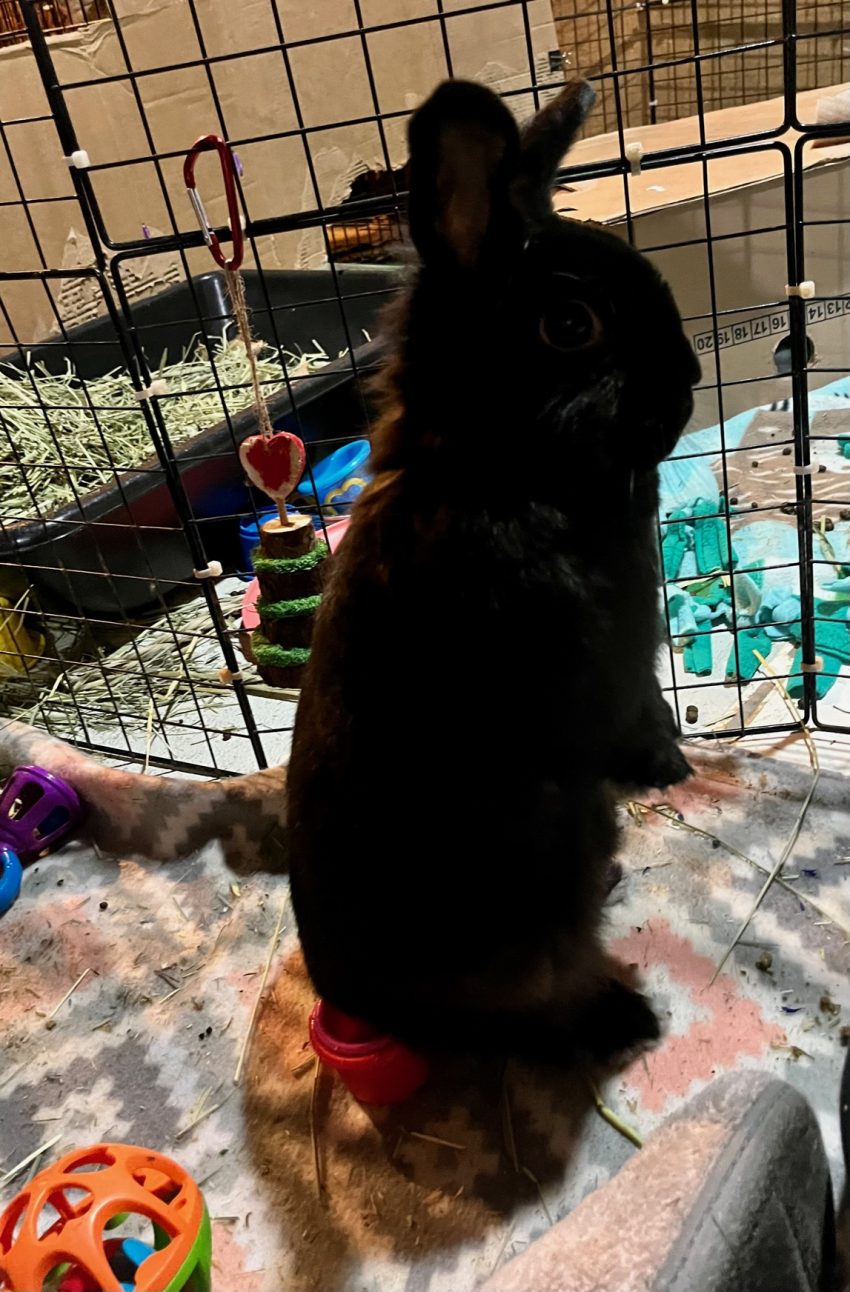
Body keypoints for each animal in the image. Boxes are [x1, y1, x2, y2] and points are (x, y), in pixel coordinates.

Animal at [285, 77, 701, 1069]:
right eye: (570, 326)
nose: (690, 384)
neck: (498, 470)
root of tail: (363, 1003)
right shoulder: (598, 677)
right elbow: (631, 721)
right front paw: (667, 767)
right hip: (529, 907)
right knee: (537, 1010)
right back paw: (624, 1018)